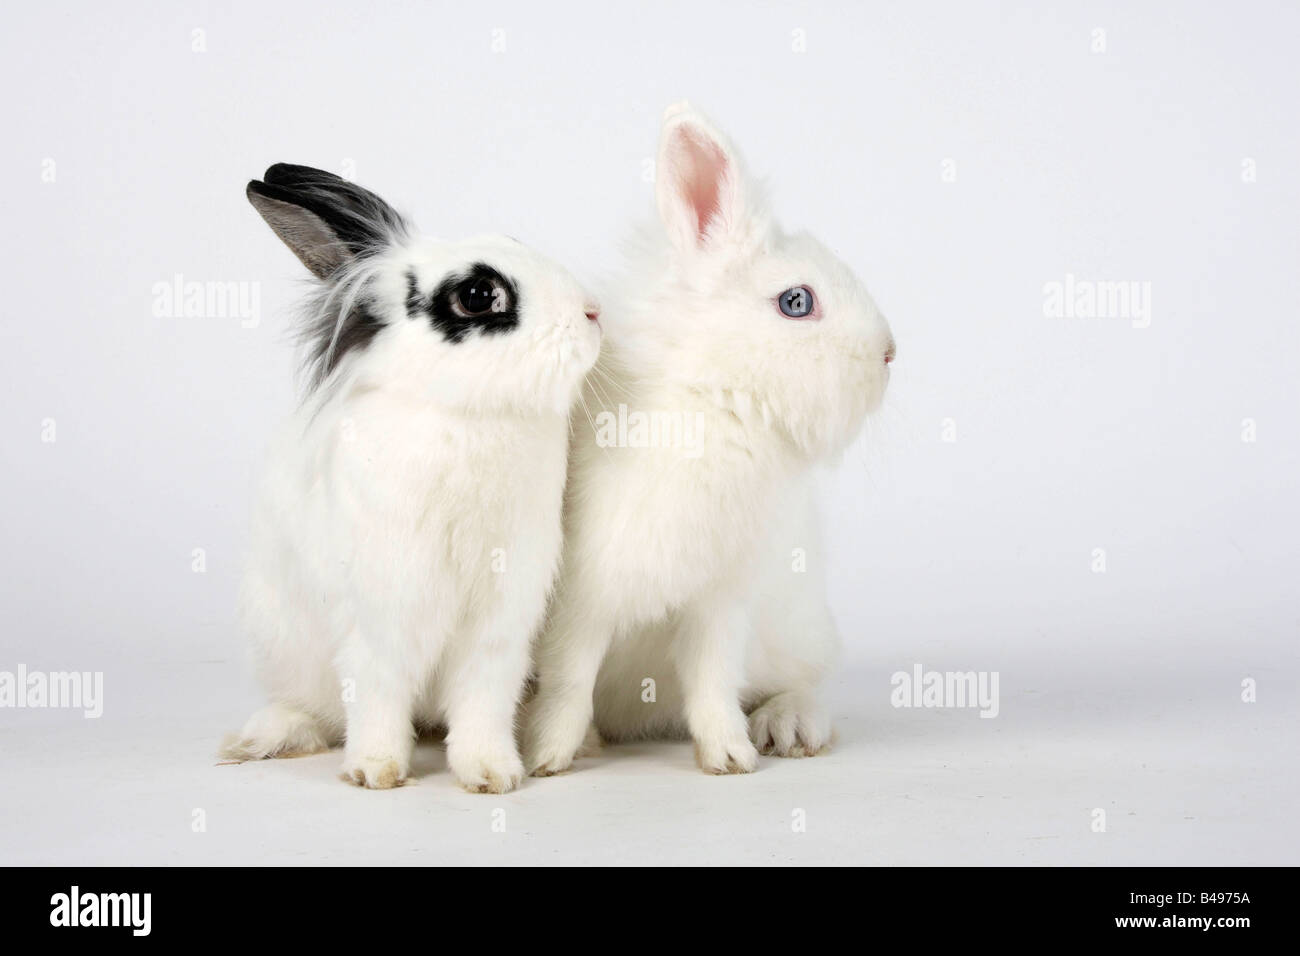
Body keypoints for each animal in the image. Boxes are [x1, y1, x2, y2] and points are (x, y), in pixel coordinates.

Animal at [220, 164, 601, 793]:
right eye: (478, 296)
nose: (594, 314)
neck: (463, 413)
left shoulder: (501, 617)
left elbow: (482, 698)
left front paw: (491, 774)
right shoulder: (379, 608)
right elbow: (377, 689)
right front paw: (376, 771)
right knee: (312, 707)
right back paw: (263, 737)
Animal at [523, 104, 895, 775]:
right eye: (796, 301)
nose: (890, 352)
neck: (711, 399)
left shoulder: (719, 603)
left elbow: (712, 681)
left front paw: (730, 757)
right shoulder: (581, 601)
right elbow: (569, 680)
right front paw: (551, 756)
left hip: (794, 626)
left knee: (802, 680)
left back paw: (790, 726)